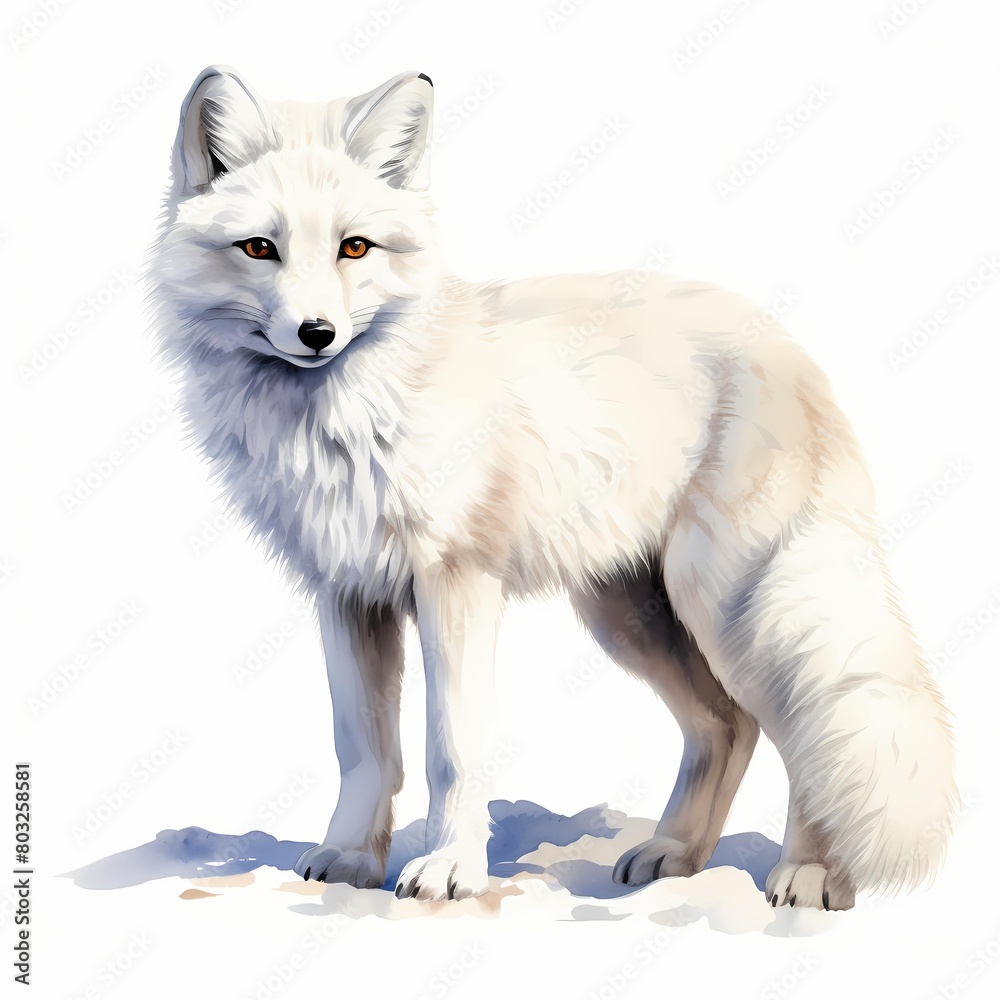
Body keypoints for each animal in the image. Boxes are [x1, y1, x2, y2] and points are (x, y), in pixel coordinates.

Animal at [147, 65, 958, 910]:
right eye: (259, 249)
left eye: (354, 248)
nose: (316, 335)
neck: (350, 416)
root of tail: (789, 345)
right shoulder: (348, 594)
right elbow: (364, 751)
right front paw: (349, 859)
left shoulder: (457, 585)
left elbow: (452, 751)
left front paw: (451, 868)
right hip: (628, 617)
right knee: (730, 726)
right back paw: (674, 853)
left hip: (729, 606)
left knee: (799, 726)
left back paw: (812, 872)